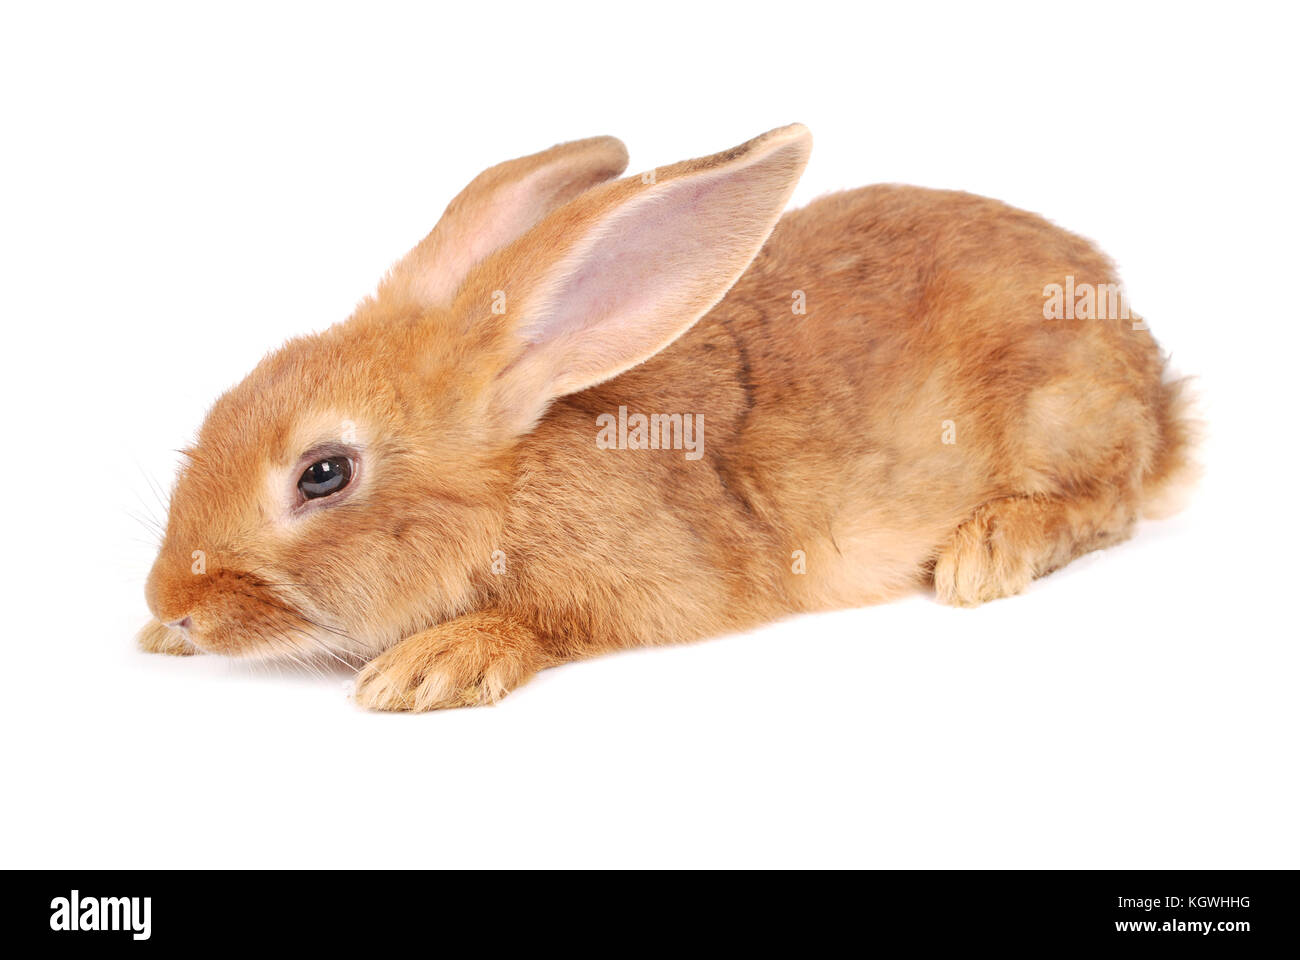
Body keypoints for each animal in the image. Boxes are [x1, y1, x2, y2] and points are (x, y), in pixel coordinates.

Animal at [139, 123, 1196, 711]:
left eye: (323, 473)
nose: (170, 603)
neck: (517, 477)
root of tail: (1155, 381)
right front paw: (159, 646)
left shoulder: (640, 587)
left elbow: (542, 624)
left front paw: (428, 668)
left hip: (1062, 412)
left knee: (1106, 500)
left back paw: (990, 548)